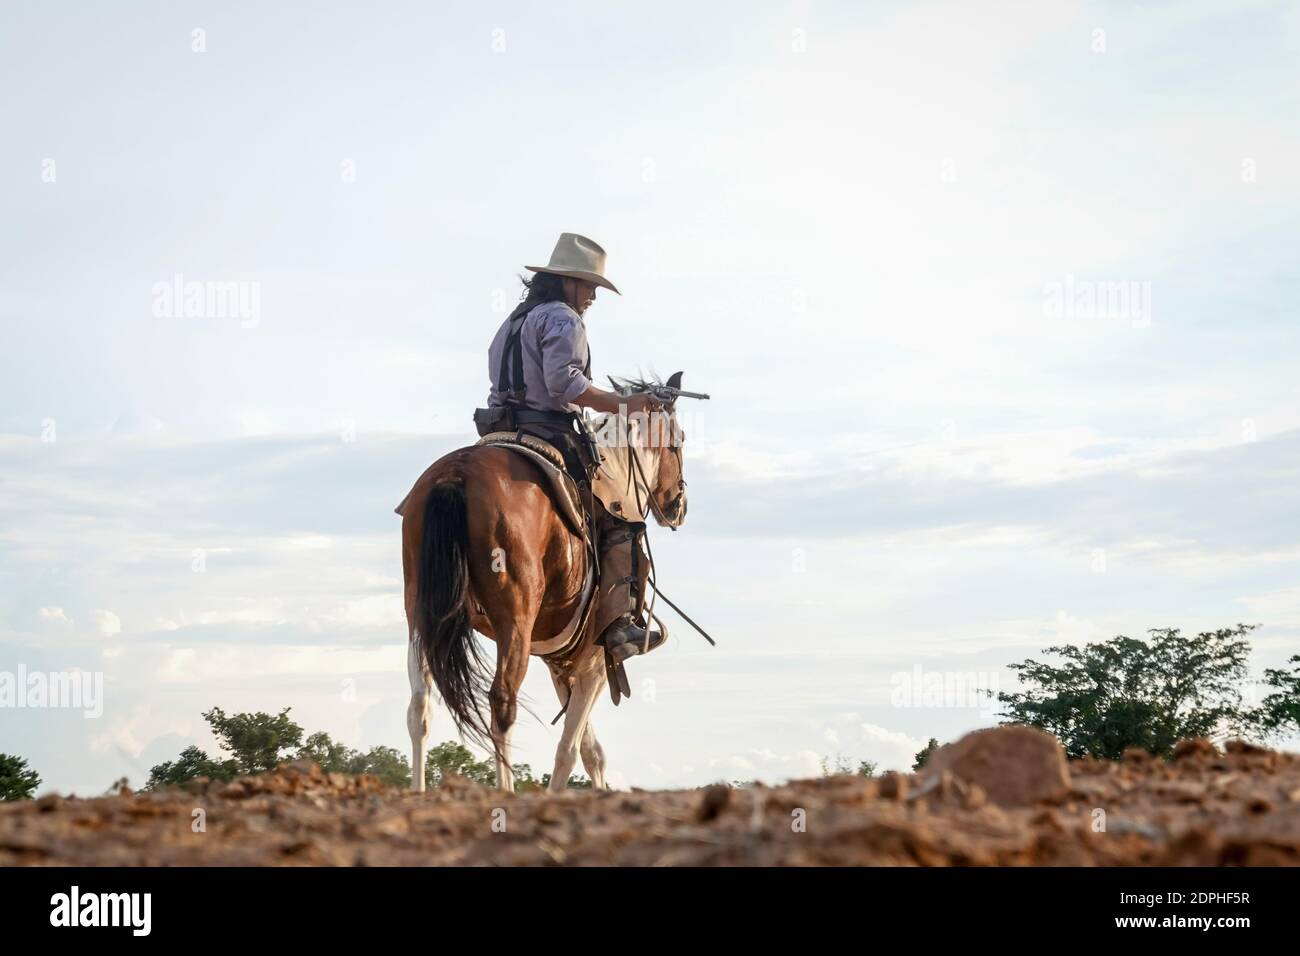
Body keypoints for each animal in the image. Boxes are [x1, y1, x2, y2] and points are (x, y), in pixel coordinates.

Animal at [400, 380, 689, 793]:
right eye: (677, 442)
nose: (679, 505)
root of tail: (458, 475)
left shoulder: (561, 663)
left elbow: (590, 750)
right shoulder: (594, 660)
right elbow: (570, 750)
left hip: (420, 617)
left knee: (419, 705)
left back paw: (418, 792)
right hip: (514, 622)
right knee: (501, 703)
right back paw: (504, 793)